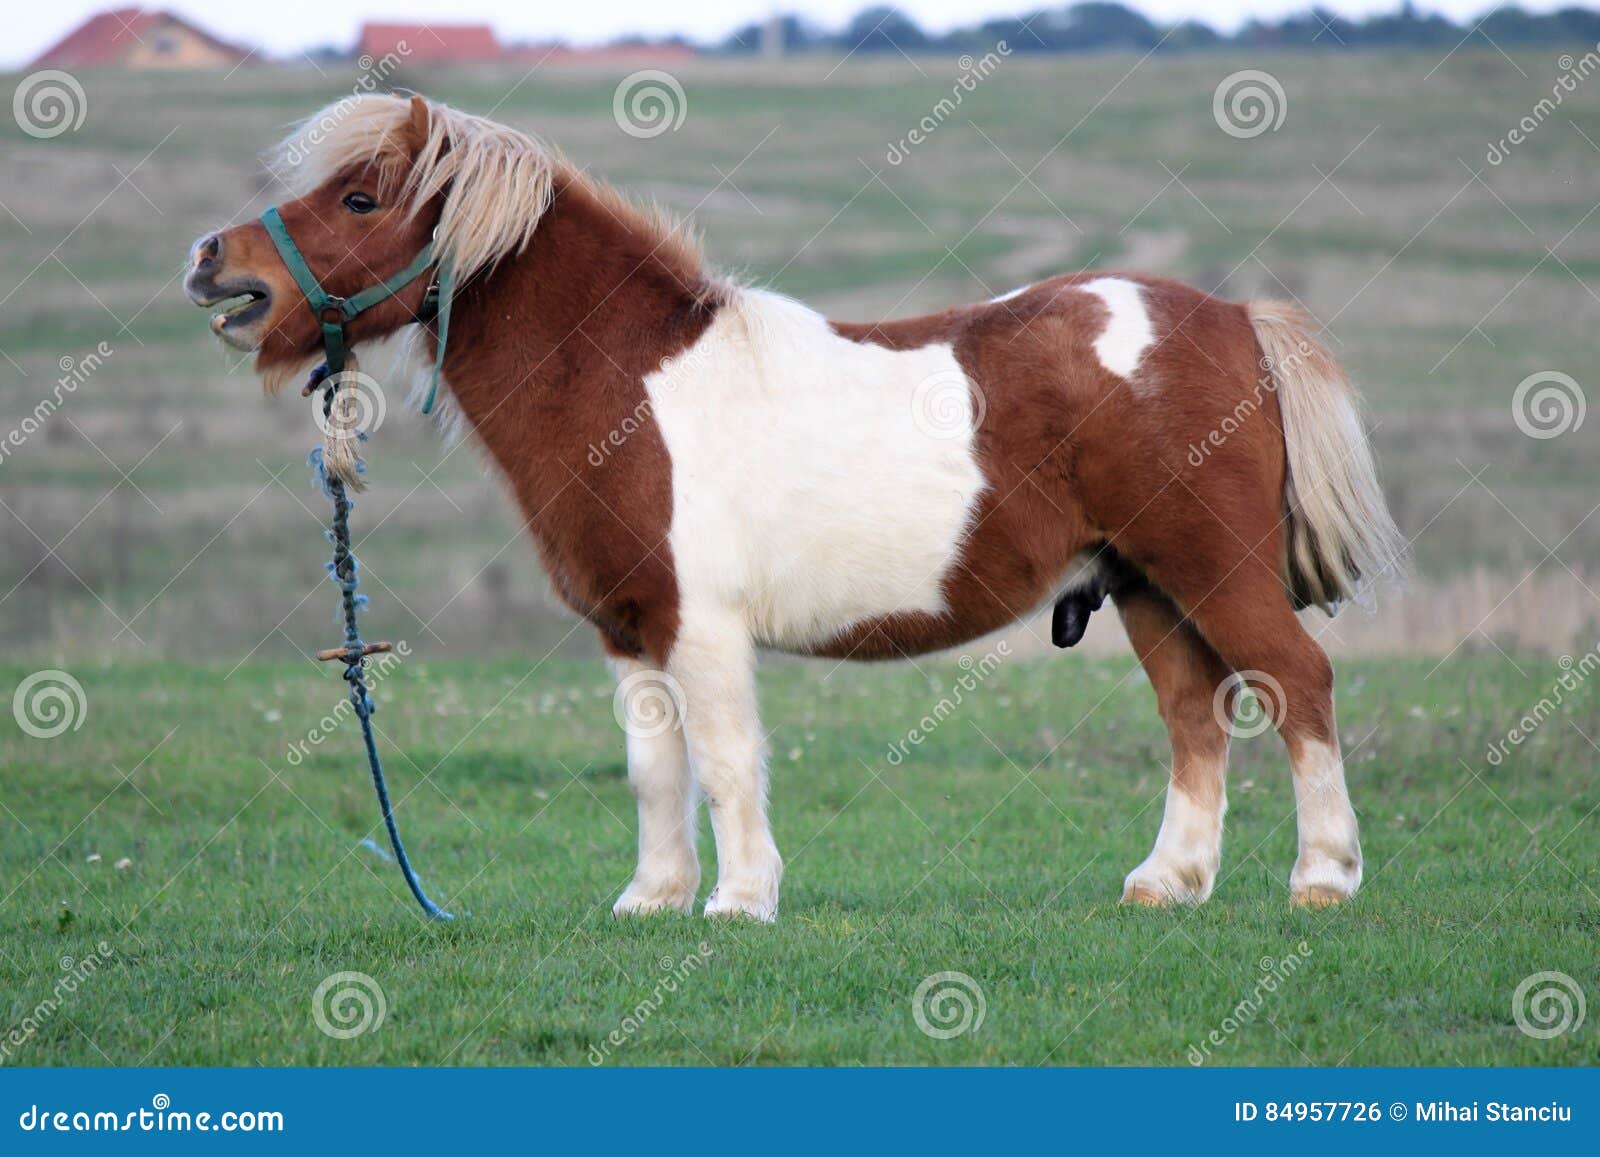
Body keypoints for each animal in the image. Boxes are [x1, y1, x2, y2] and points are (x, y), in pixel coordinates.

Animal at [184, 94, 1406, 921]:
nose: (213, 261)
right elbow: (656, 767)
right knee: (1196, 713)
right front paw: (653, 898)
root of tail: (1232, 318)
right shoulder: (629, 630)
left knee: (1296, 682)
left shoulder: (702, 626)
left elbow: (726, 760)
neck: (630, 386)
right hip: (1147, 585)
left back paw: (1323, 876)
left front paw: (739, 901)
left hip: (1213, 569)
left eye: (357, 196)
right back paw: (1167, 880)